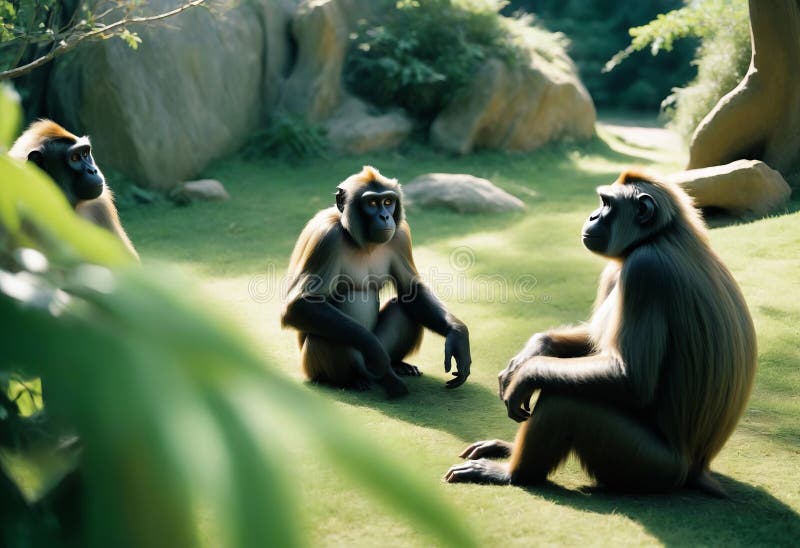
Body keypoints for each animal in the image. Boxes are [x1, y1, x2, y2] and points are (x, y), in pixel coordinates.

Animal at [281, 166, 471, 398]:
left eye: (388, 201)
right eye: (371, 203)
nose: (385, 216)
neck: (357, 238)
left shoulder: (399, 235)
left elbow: (411, 291)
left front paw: (457, 335)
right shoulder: (325, 238)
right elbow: (299, 305)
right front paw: (375, 352)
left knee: (402, 307)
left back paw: (397, 364)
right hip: (314, 365)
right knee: (327, 334)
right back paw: (352, 379)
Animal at [445, 169, 757, 495]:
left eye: (606, 204)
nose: (593, 215)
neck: (662, 236)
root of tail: (695, 468)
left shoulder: (644, 270)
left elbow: (632, 379)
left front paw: (526, 374)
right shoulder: (619, 270)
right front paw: (533, 351)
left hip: (648, 463)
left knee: (564, 399)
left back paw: (513, 474)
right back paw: (508, 449)